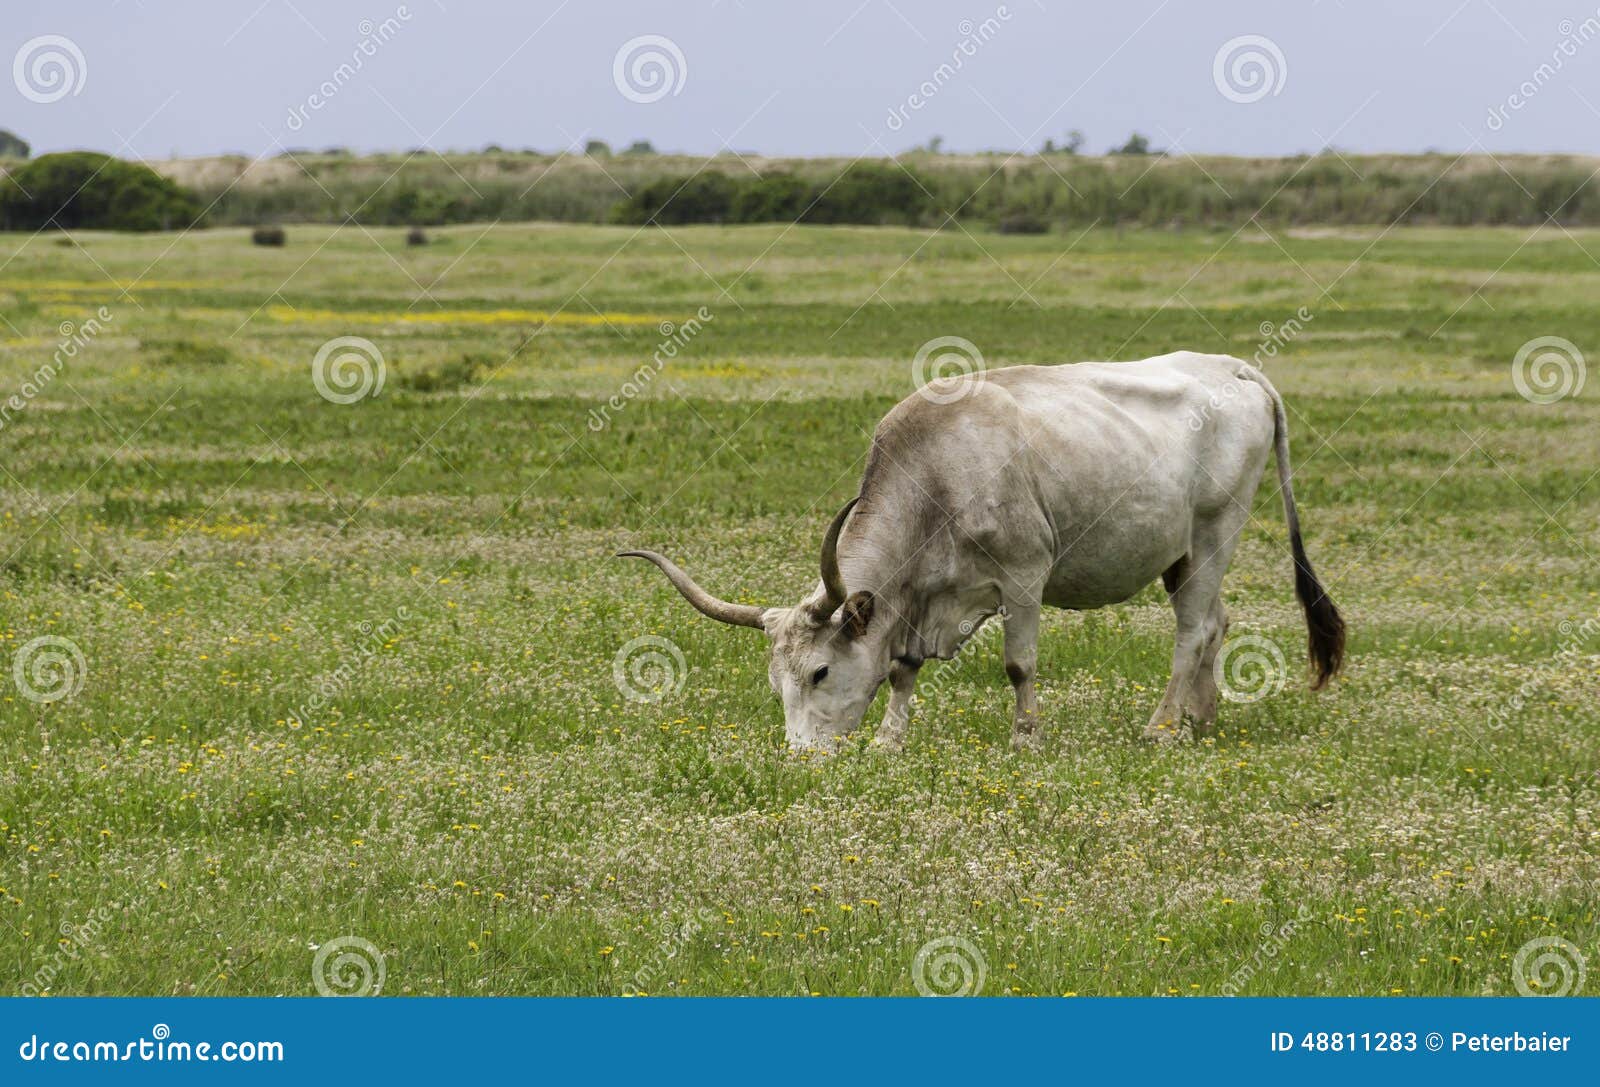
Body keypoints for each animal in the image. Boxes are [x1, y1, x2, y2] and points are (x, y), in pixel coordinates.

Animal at [620, 351, 1344, 753]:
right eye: (778, 682)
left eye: (821, 672)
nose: (801, 756)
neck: (939, 470)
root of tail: (1235, 368)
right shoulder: (918, 601)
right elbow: (903, 669)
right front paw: (889, 740)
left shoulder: (1023, 578)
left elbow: (1019, 665)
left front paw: (1025, 738)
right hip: (1182, 556)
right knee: (1217, 621)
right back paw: (1202, 717)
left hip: (1215, 532)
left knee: (1192, 630)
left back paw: (1160, 726)